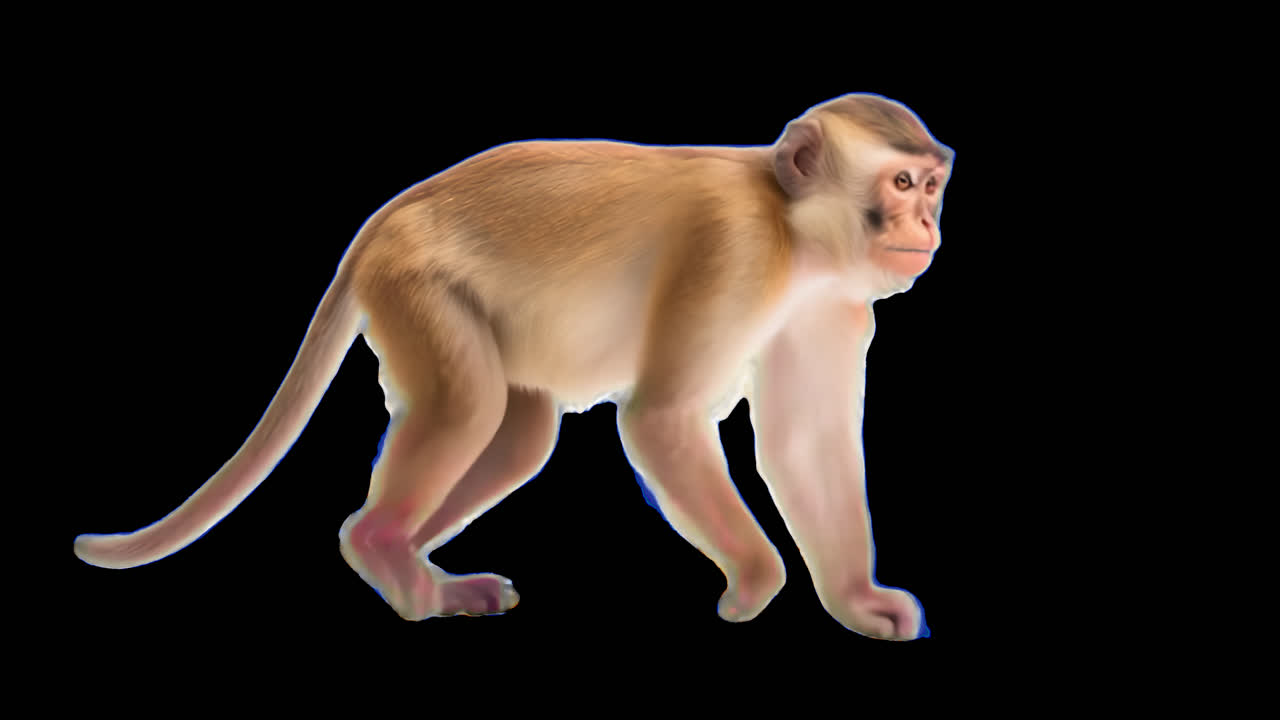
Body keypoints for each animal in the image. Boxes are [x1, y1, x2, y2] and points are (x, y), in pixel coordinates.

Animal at [74, 93, 953, 641]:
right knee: (468, 409)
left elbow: (805, 447)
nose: (926, 226)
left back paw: (416, 567)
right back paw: (385, 551)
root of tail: (387, 216)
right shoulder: (734, 249)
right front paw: (756, 579)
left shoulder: (835, 305)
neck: (795, 233)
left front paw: (855, 601)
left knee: (518, 433)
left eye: (933, 187)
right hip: (417, 285)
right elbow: (663, 418)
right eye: (903, 182)